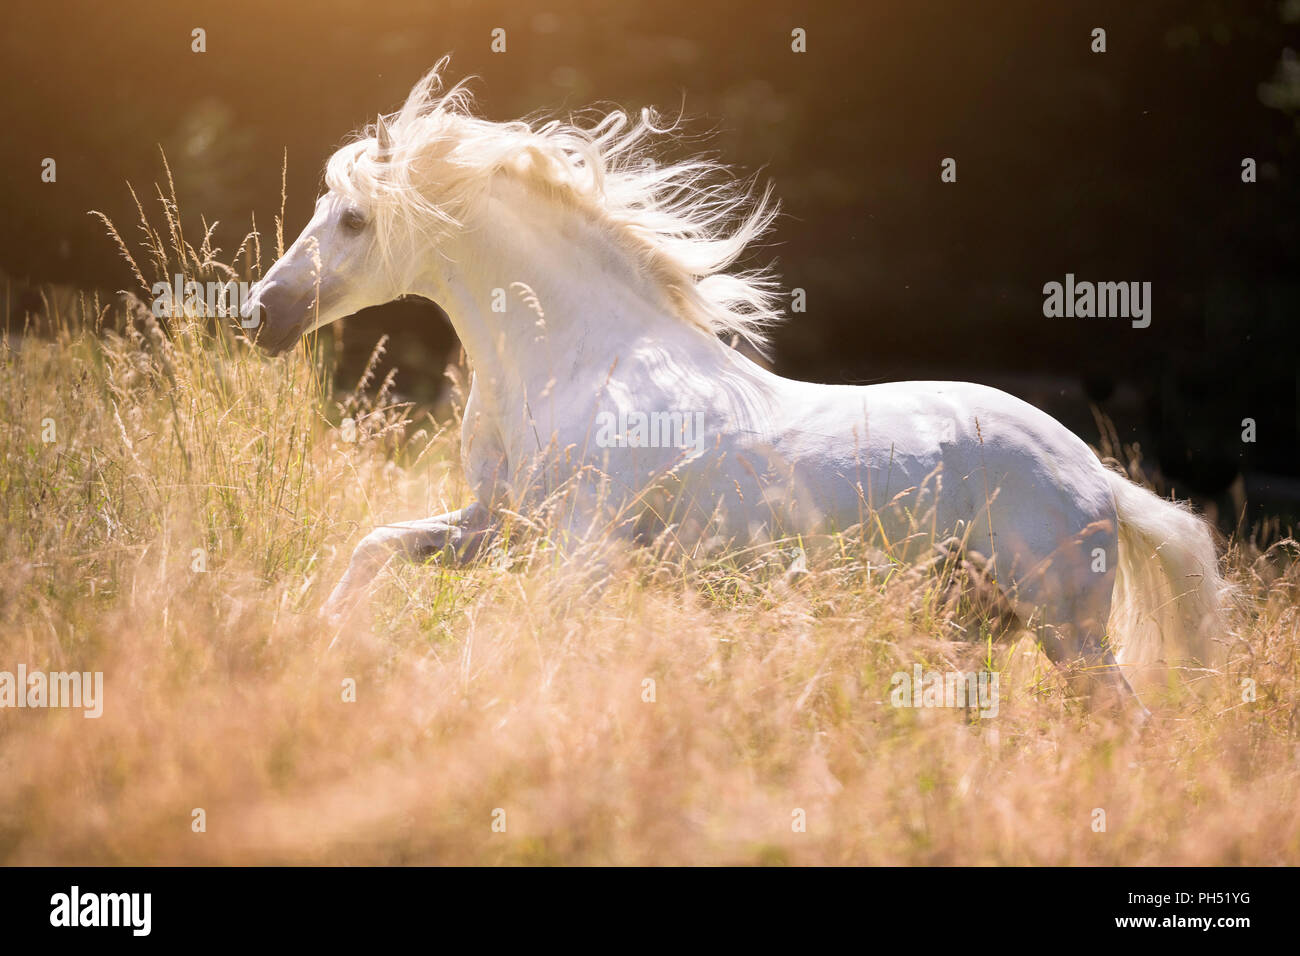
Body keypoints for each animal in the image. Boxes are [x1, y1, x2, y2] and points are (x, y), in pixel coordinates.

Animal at [242, 60, 1227, 720]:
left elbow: (528, 645)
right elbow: (374, 549)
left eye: (353, 219)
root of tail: (1100, 481)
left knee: (1129, 725)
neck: (575, 359)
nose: (261, 313)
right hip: (971, 625)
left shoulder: (581, 552)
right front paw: (320, 642)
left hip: (1068, 633)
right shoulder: (498, 528)